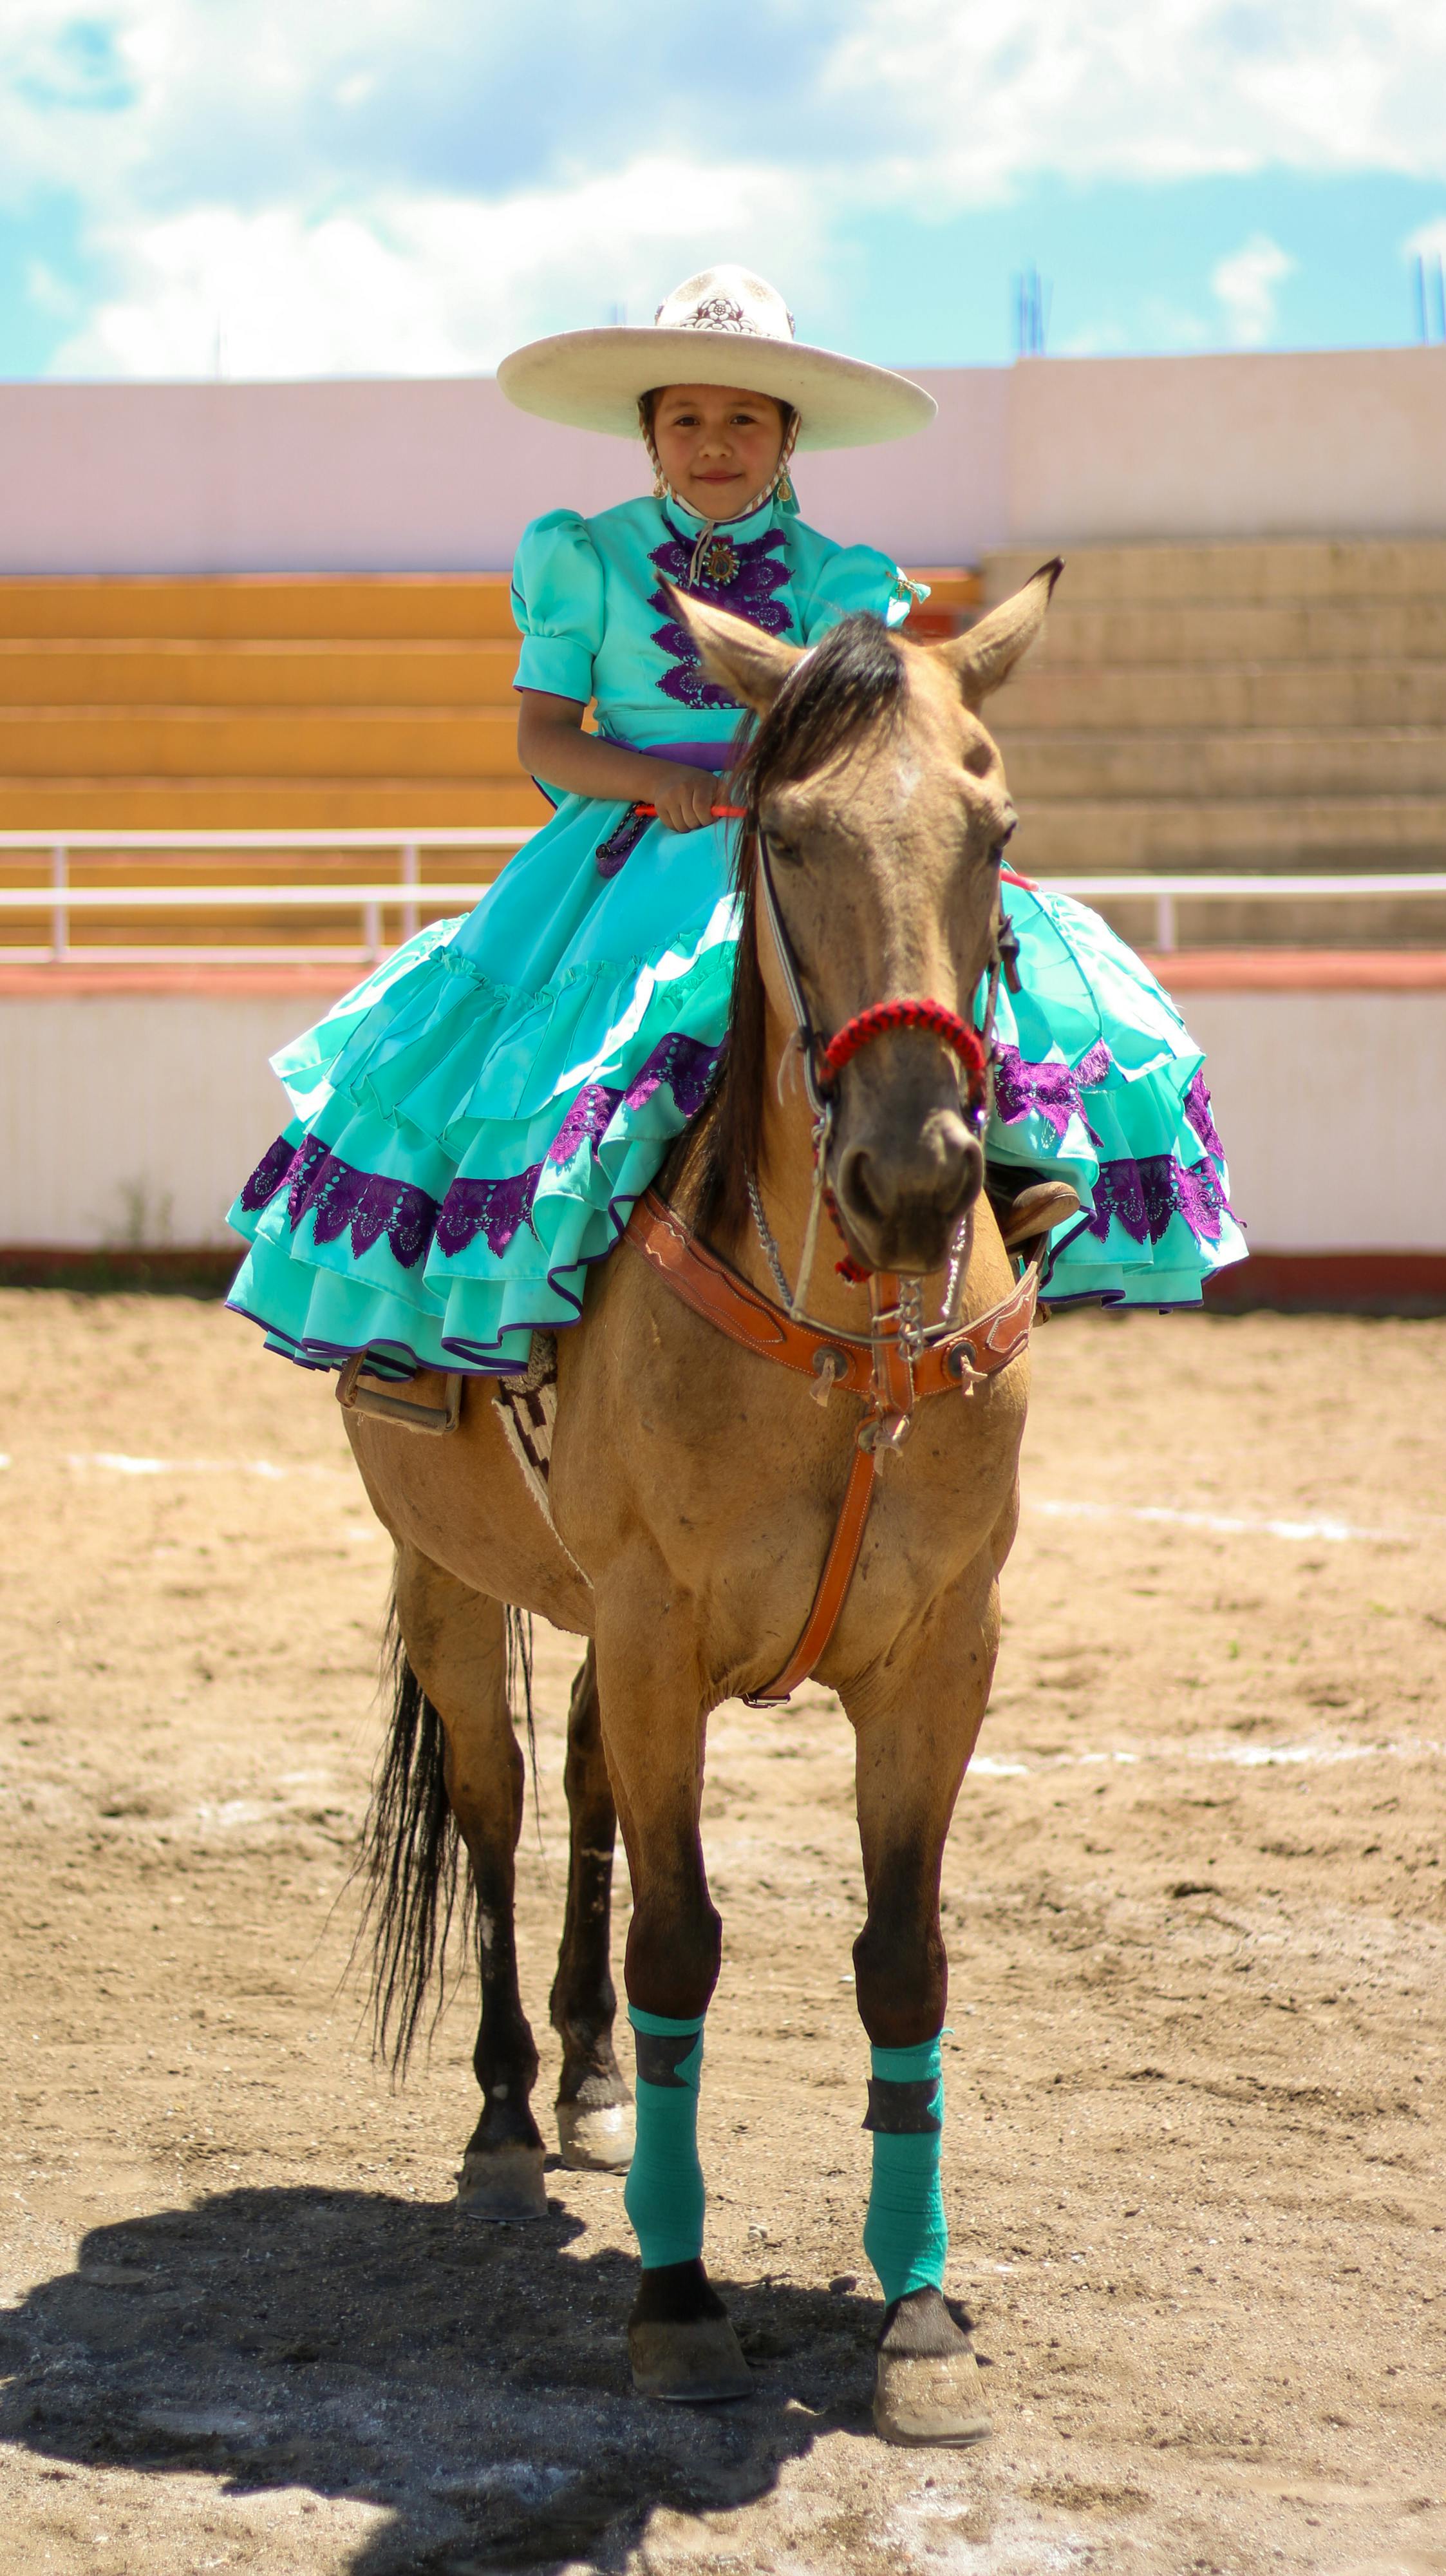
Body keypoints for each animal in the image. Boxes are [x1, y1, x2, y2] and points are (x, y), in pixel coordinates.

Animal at [342, 561, 1074, 2445]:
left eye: (993, 828)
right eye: (783, 833)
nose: (913, 1176)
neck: (848, 1340)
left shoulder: (937, 1656)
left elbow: (902, 1961)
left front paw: (919, 2317)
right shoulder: (660, 1631)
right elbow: (679, 1944)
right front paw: (673, 2303)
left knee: (588, 1793)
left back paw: (591, 2081)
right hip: (449, 1578)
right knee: (499, 1809)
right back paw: (510, 2099)